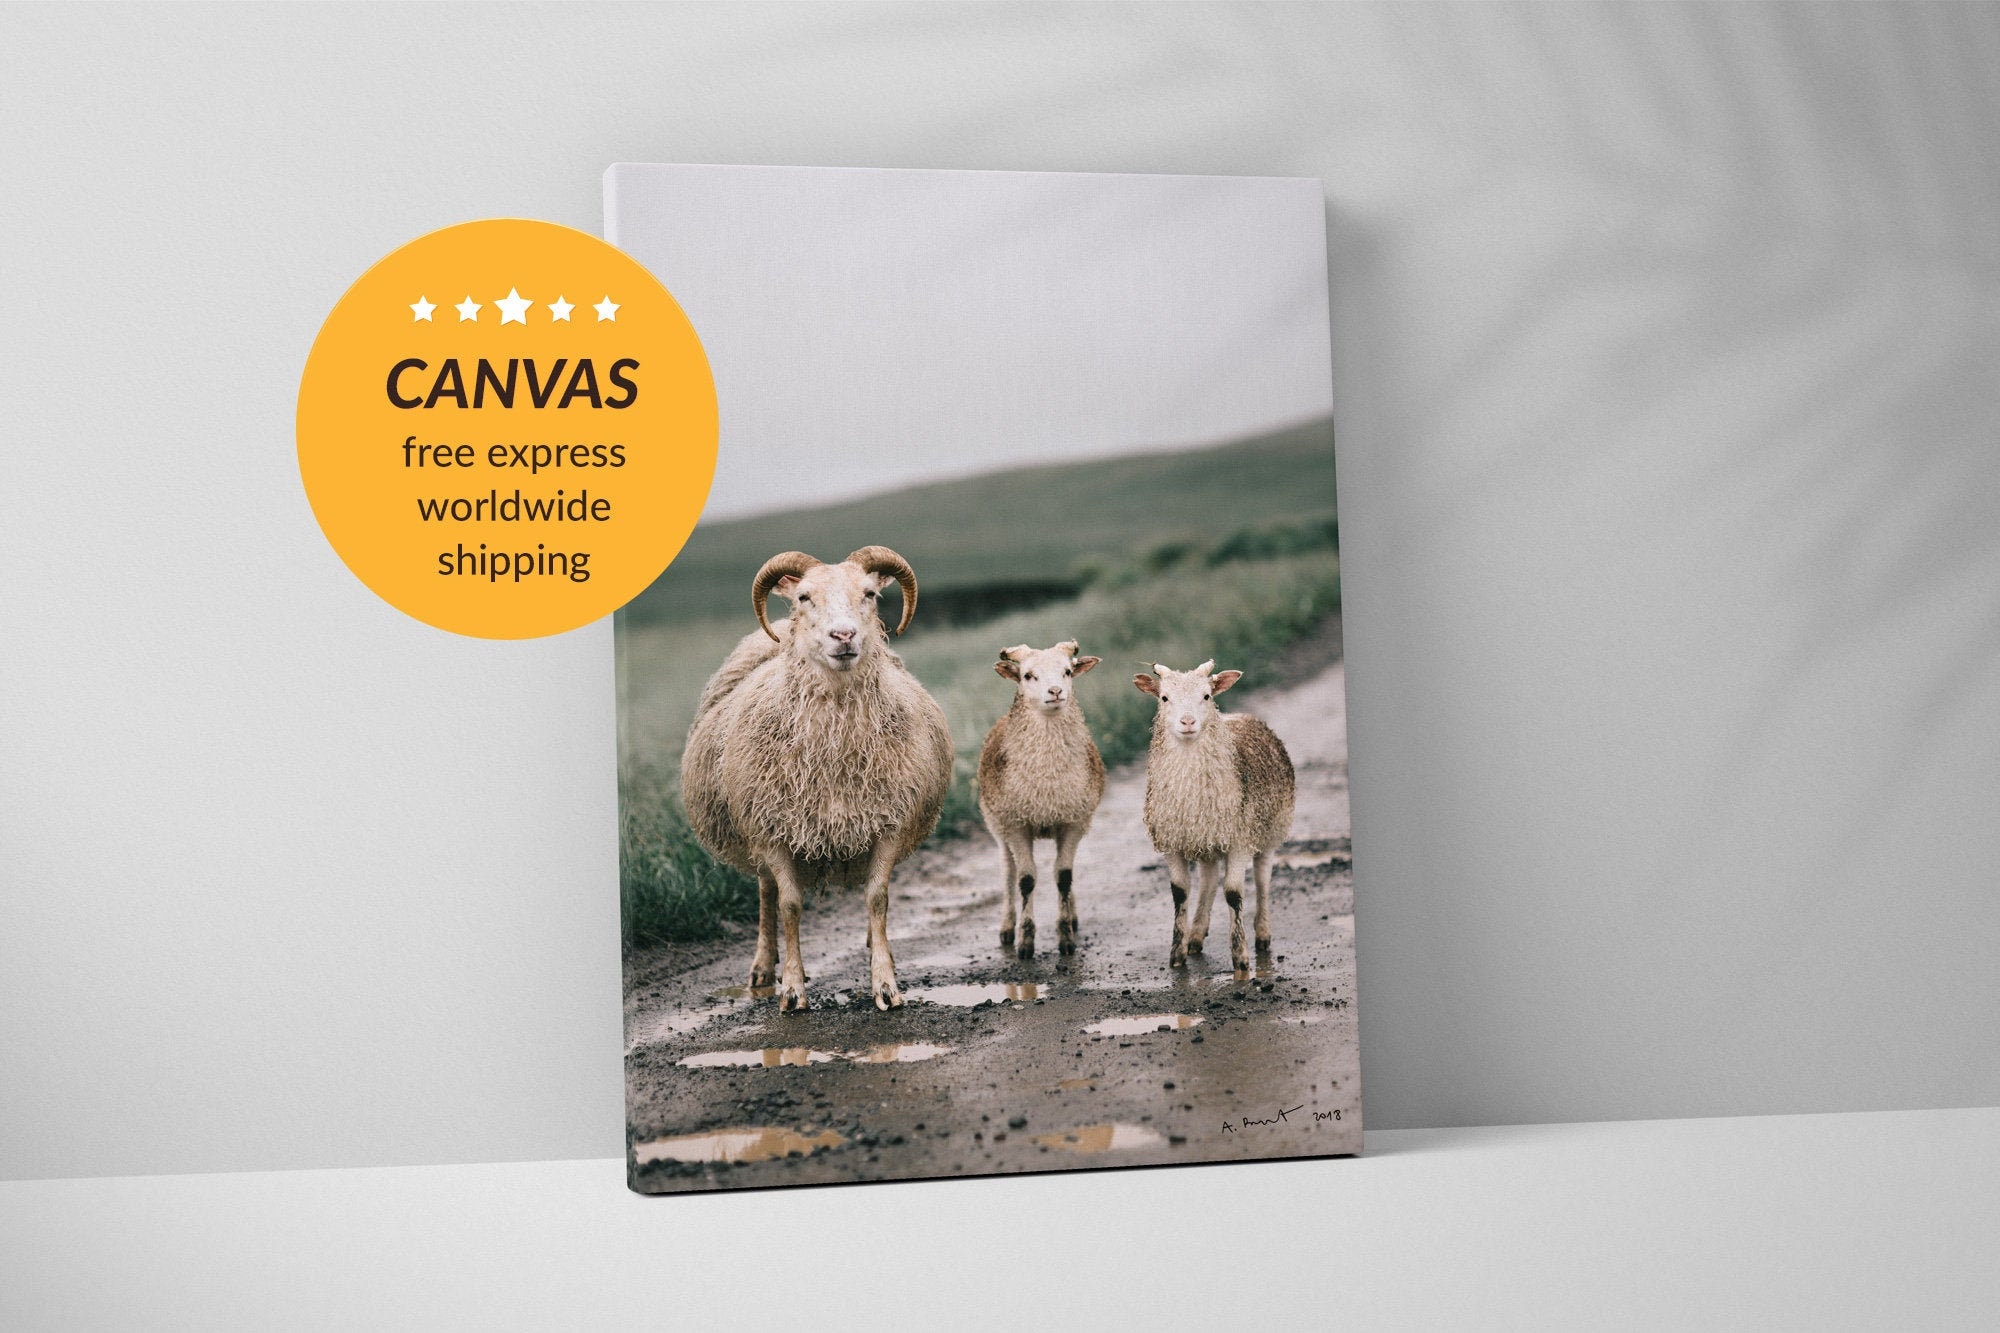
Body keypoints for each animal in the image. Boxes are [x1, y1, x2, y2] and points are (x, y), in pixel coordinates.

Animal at [679, 546, 954, 1012]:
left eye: (869, 593)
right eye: (805, 597)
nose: (843, 636)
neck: (833, 754)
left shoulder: (888, 824)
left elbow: (877, 900)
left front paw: (884, 983)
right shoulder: (773, 831)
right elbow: (789, 906)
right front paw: (792, 988)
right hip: (755, 831)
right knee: (766, 895)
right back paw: (763, 967)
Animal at [977, 641, 1106, 959]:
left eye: (1068, 671)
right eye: (1028, 675)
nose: (1056, 691)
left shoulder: (1073, 823)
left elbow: (1063, 877)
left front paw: (1066, 939)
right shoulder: (1016, 826)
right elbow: (1026, 881)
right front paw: (1025, 943)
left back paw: (1073, 917)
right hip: (997, 827)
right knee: (1008, 872)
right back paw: (1007, 928)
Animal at [1133, 660, 1296, 970]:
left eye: (1207, 696)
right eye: (1164, 698)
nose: (1187, 722)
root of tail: (1244, 716)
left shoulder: (1240, 840)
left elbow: (1233, 893)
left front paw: (1241, 958)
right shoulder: (1172, 843)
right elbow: (1180, 892)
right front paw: (1177, 953)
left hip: (1270, 831)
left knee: (1262, 879)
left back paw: (1262, 934)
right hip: (1206, 839)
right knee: (1208, 881)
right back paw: (1196, 935)